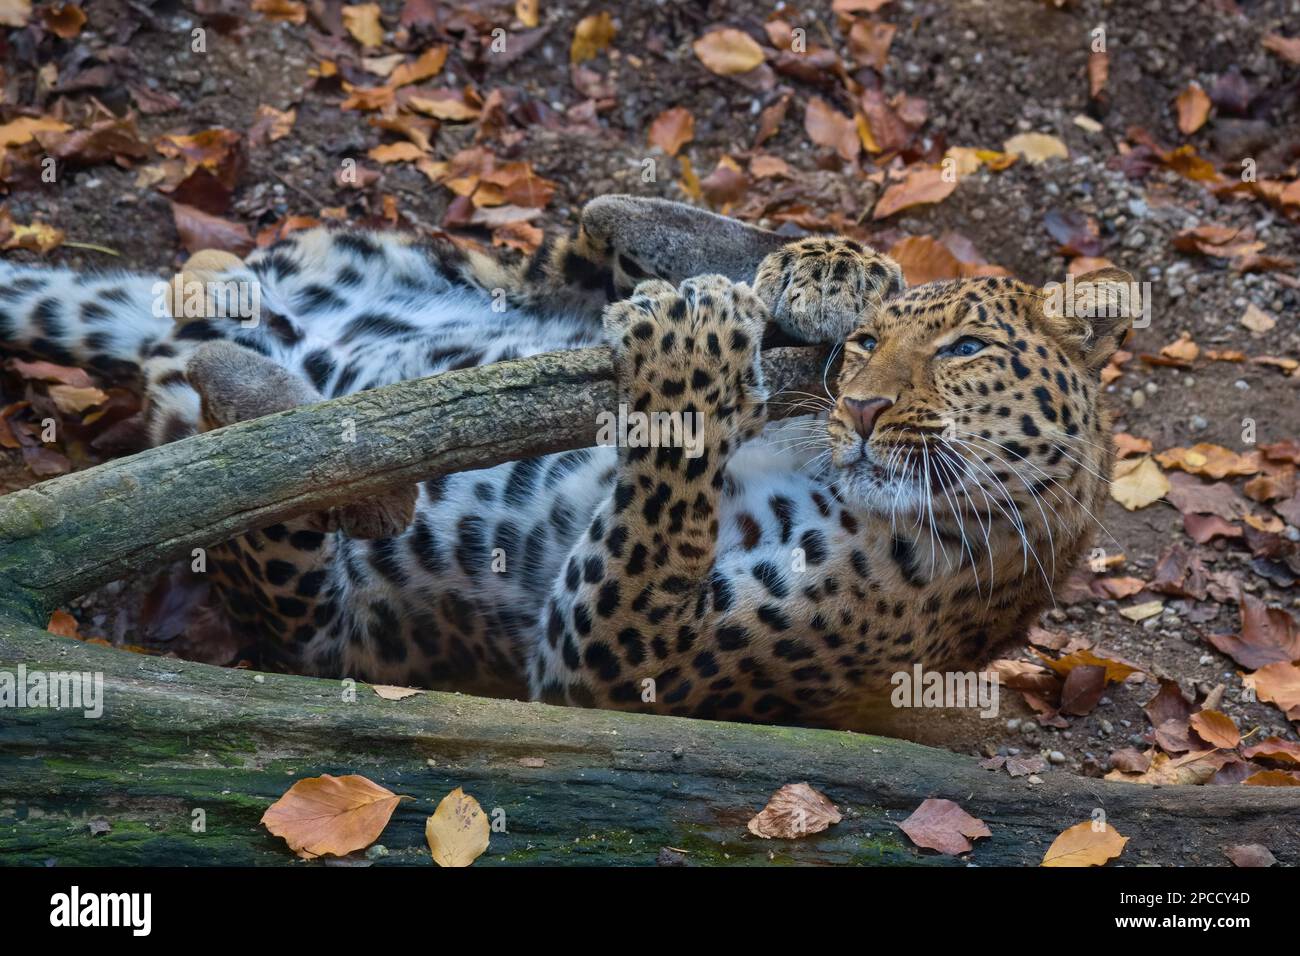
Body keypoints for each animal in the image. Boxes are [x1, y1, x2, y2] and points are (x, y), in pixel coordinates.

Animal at [0, 195, 1135, 730]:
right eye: (866, 350)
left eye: (968, 351)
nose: (856, 404)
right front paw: (832, 271)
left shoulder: (615, 669)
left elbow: (661, 511)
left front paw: (690, 363)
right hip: (436, 261)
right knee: (585, 228)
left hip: (331, 623)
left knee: (267, 540)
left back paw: (333, 452)